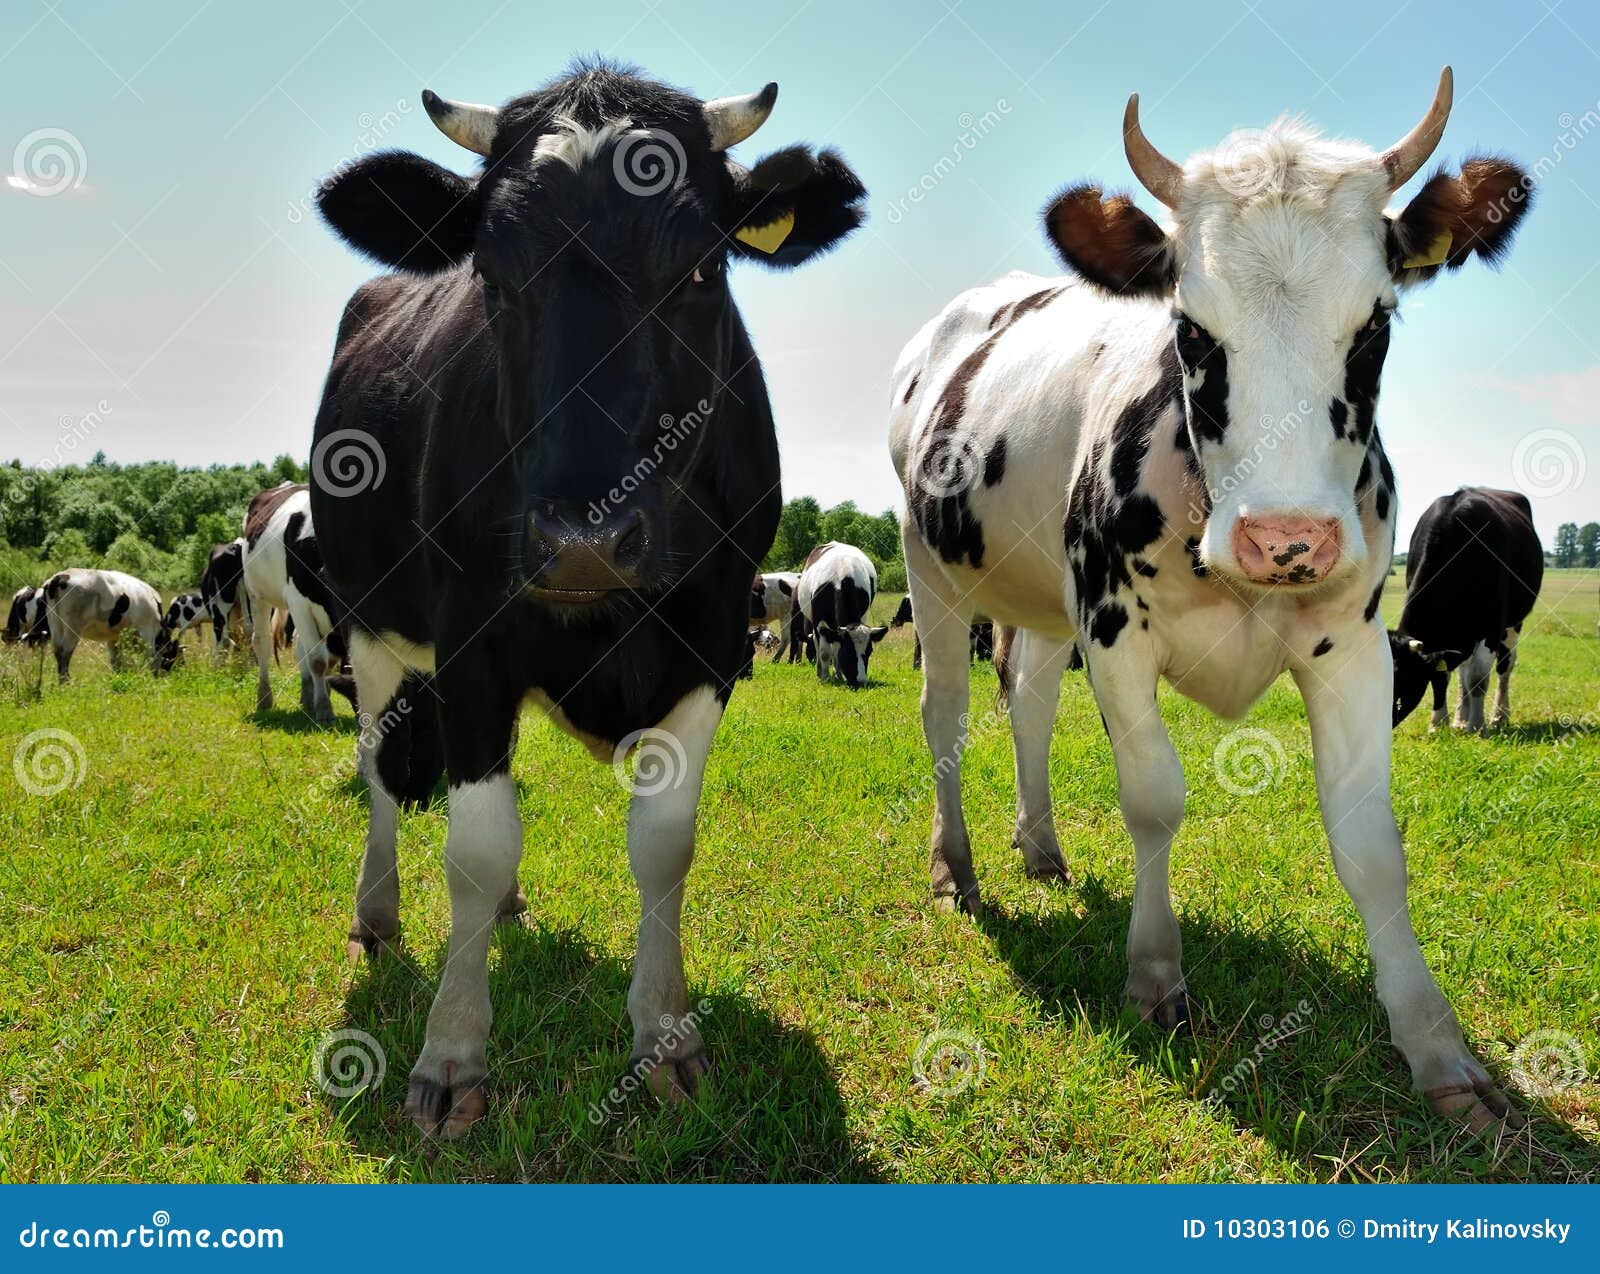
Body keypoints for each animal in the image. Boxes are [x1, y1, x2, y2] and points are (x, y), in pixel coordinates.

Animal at [36, 568, 173, 680]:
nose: (169, 674)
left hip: (55, 623)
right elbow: (153, 656)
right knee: (65, 654)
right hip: (72, 628)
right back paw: (66, 683)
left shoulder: (113, 637)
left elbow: (115, 660)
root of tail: (60, 576)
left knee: (58, 652)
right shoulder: (148, 631)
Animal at [242, 484, 339, 724]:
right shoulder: (299, 602)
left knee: (298, 644)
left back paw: (307, 694)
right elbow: (318, 660)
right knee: (262, 643)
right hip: (256, 593)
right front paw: (325, 710)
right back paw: (264, 698)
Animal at [309, 59, 864, 1137]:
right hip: (369, 628)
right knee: (383, 777)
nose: (583, 540)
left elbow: (663, 848)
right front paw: (452, 1053)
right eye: (490, 274)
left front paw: (666, 1037)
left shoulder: (712, 643)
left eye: (702, 270)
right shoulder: (470, 646)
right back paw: (378, 911)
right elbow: (473, 850)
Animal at [797, 541, 886, 687]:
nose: (861, 681)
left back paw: (838, 674)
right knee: (818, 643)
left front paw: (838, 675)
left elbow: (836, 650)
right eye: (849, 651)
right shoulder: (820, 623)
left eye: (869, 651)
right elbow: (824, 653)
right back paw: (820, 671)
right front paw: (825, 677)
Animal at [1390, 487, 1542, 732]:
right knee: (1464, 672)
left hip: (1513, 624)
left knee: (1504, 667)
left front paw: (1478, 725)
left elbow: (1478, 680)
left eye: (1403, 681)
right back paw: (1460, 719)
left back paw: (1499, 716)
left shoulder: (1491, 628)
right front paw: (1439, 722)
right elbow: (1444, 677)